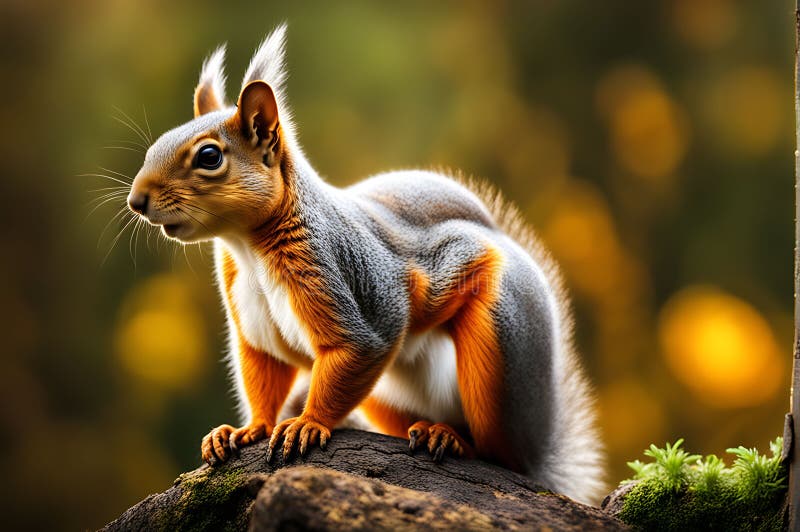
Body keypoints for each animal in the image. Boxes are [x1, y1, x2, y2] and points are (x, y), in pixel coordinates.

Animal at [125, 24, 604, 504]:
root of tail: (538, 448)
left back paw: (452, 439)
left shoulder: (348, 283)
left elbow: (361, 345)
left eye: (209, 157)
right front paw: (248, 430)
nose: (136, 200)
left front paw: (307, 424)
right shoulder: (254, 326)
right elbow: (264, 372)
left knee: (497, 452)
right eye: (156, 145)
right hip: (390, 393)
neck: (246, 247)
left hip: (501, 349)